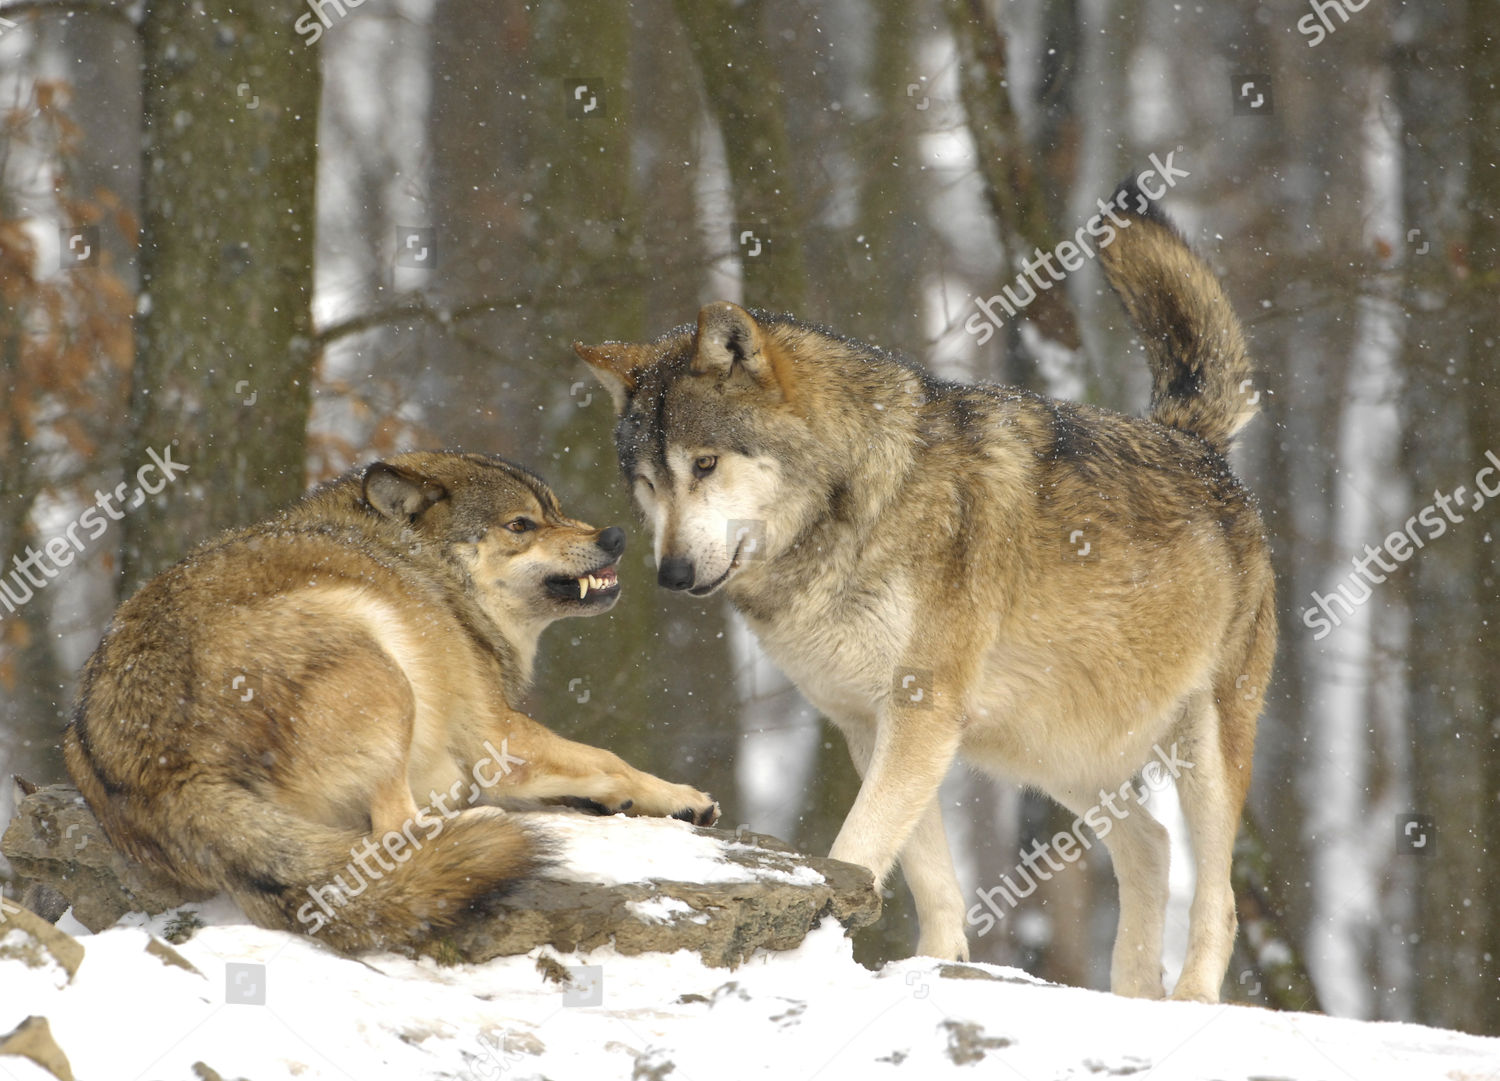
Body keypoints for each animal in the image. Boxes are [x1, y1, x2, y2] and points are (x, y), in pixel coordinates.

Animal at [64, 451, 719, 952]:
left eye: (555, 511)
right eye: (521, 526)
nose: (615, 536)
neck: (431, 571)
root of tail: (169, 775)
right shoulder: (498, 736)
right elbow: (611, 759)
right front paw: (684, 798)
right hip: (379, 661)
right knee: (398, 833)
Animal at [574, 183, 1275, 1002]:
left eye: (706, 464)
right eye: (647, 482)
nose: (673, 574)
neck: (853, 511)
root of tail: (1196, 442)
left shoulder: (920, 711)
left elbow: (859, 845)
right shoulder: (867, 723)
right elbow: (928, 872)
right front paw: (936, 963)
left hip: (1201, 746)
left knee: (1217, 894)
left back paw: (1189, 996)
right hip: (1053, 754)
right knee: (1152, 844)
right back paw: (1134, 996)